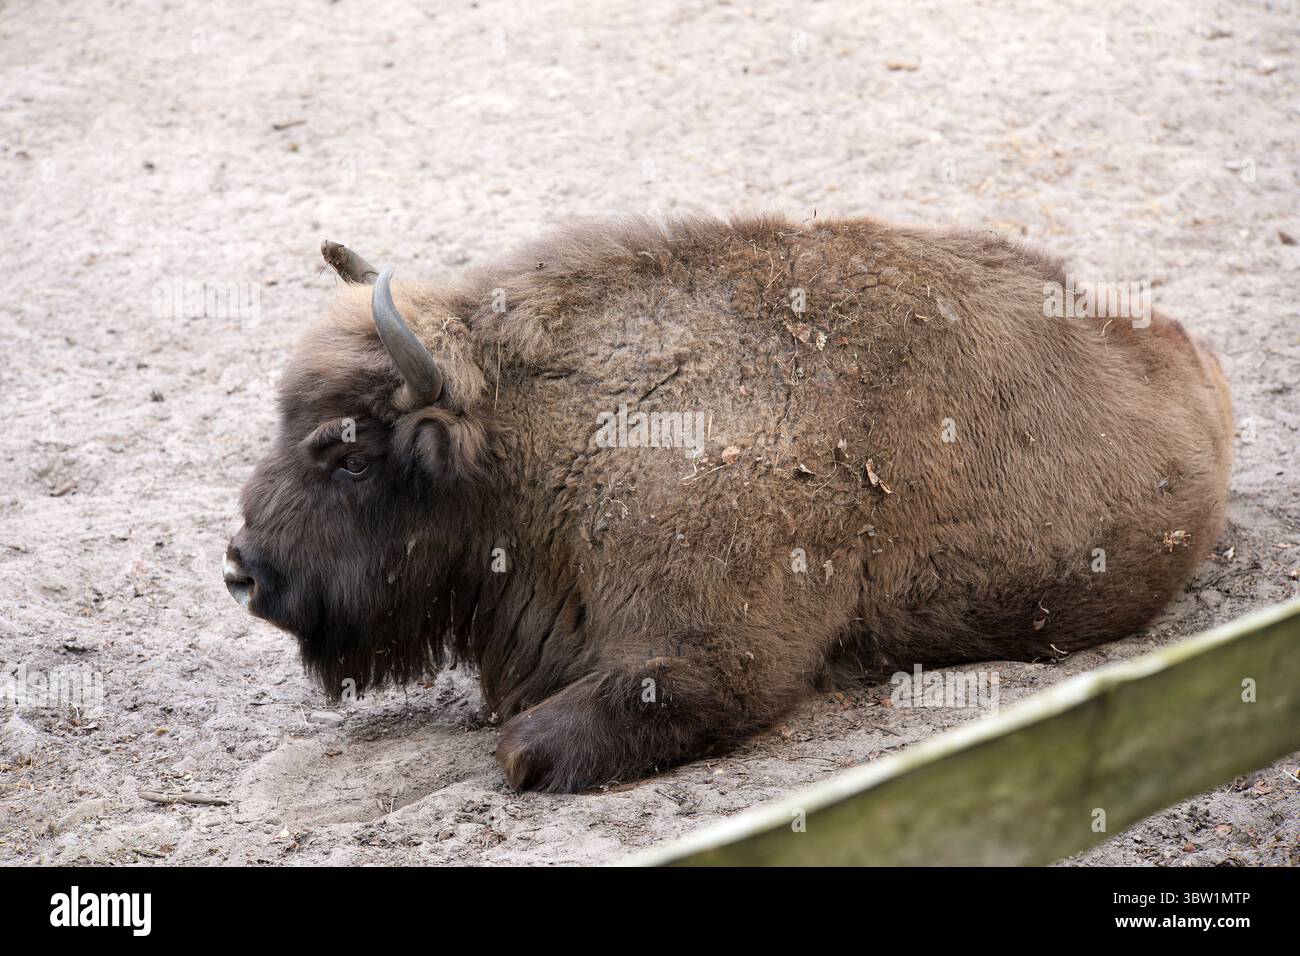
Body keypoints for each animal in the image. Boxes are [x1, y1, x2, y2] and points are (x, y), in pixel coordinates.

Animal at [224, 215, 1233, 792]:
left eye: (352, 454)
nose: (242, 570)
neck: (552, 432)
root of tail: (1188, 347)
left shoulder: (713, 664)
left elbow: (525, 748)